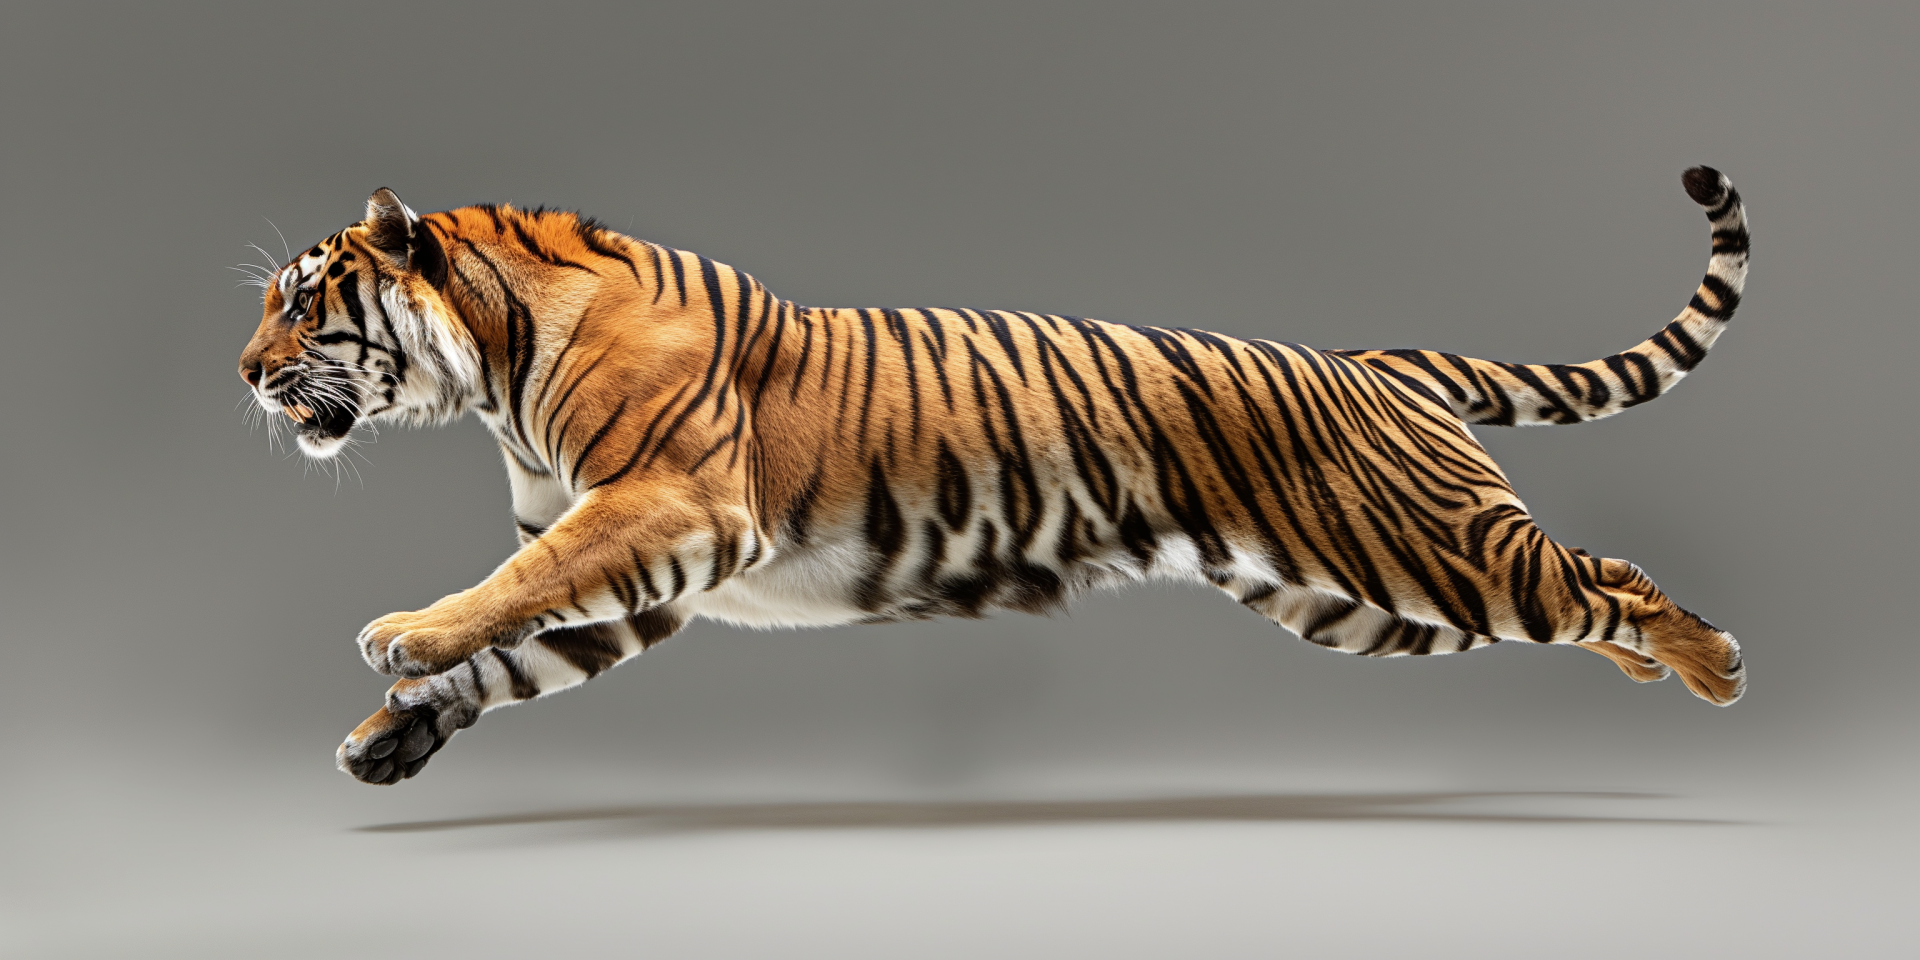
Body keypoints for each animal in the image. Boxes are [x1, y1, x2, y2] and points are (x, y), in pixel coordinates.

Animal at [237, 168, 1750, 785]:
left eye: (305, 306)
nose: (244, 374)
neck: (493, 375)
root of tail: (1377, 360)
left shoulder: (667, 509)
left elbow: (515, 584)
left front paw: (403, 635)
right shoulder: (653, 575)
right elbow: (520, 648)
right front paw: (390, 735)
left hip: (1427, 554)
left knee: (1603, 576)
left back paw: (1718, 666)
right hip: (1361, 604)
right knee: (1581, 601)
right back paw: (1663, 672)